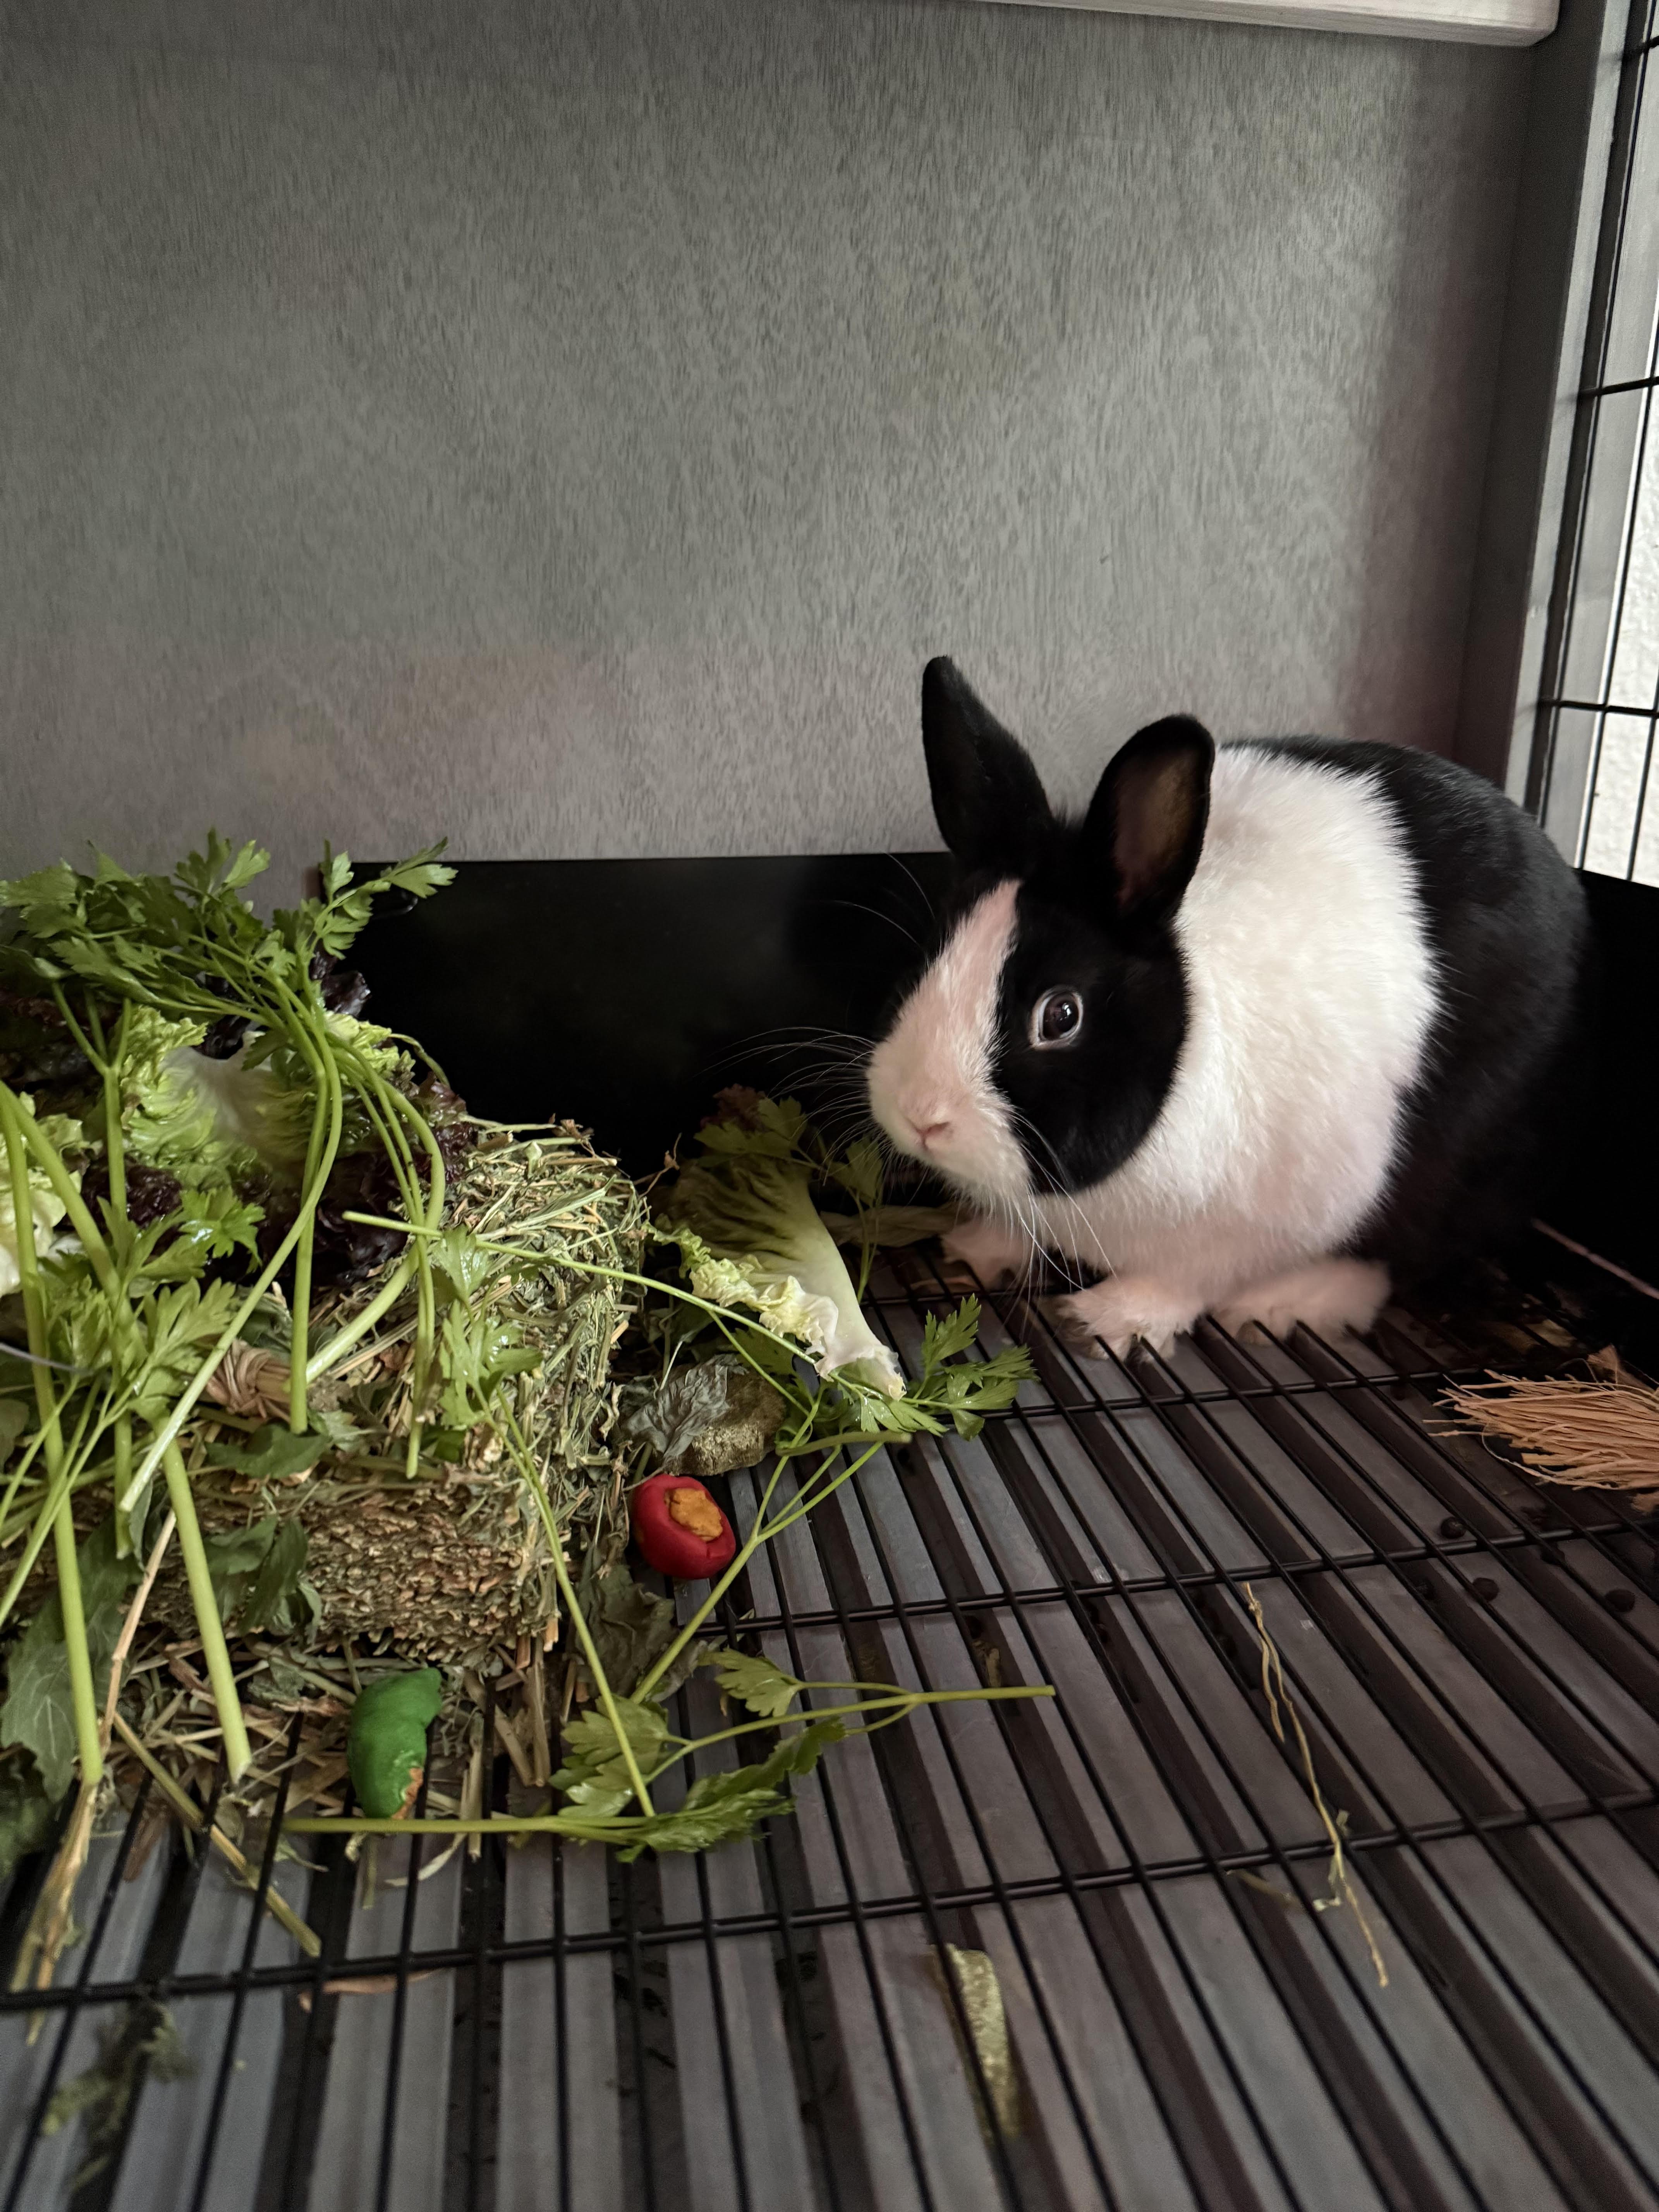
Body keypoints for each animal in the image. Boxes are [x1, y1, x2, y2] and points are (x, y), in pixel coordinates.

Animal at [866, 657, 1589, 1358]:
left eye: (1060, 1015)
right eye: (925, 961)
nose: (922, 1116)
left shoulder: (1262, 1218)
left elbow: (1185, 1279)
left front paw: (1105, 1320)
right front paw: (977, 1249)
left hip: (1449, 1166)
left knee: (1389, 1259)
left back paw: (1281, 1304)